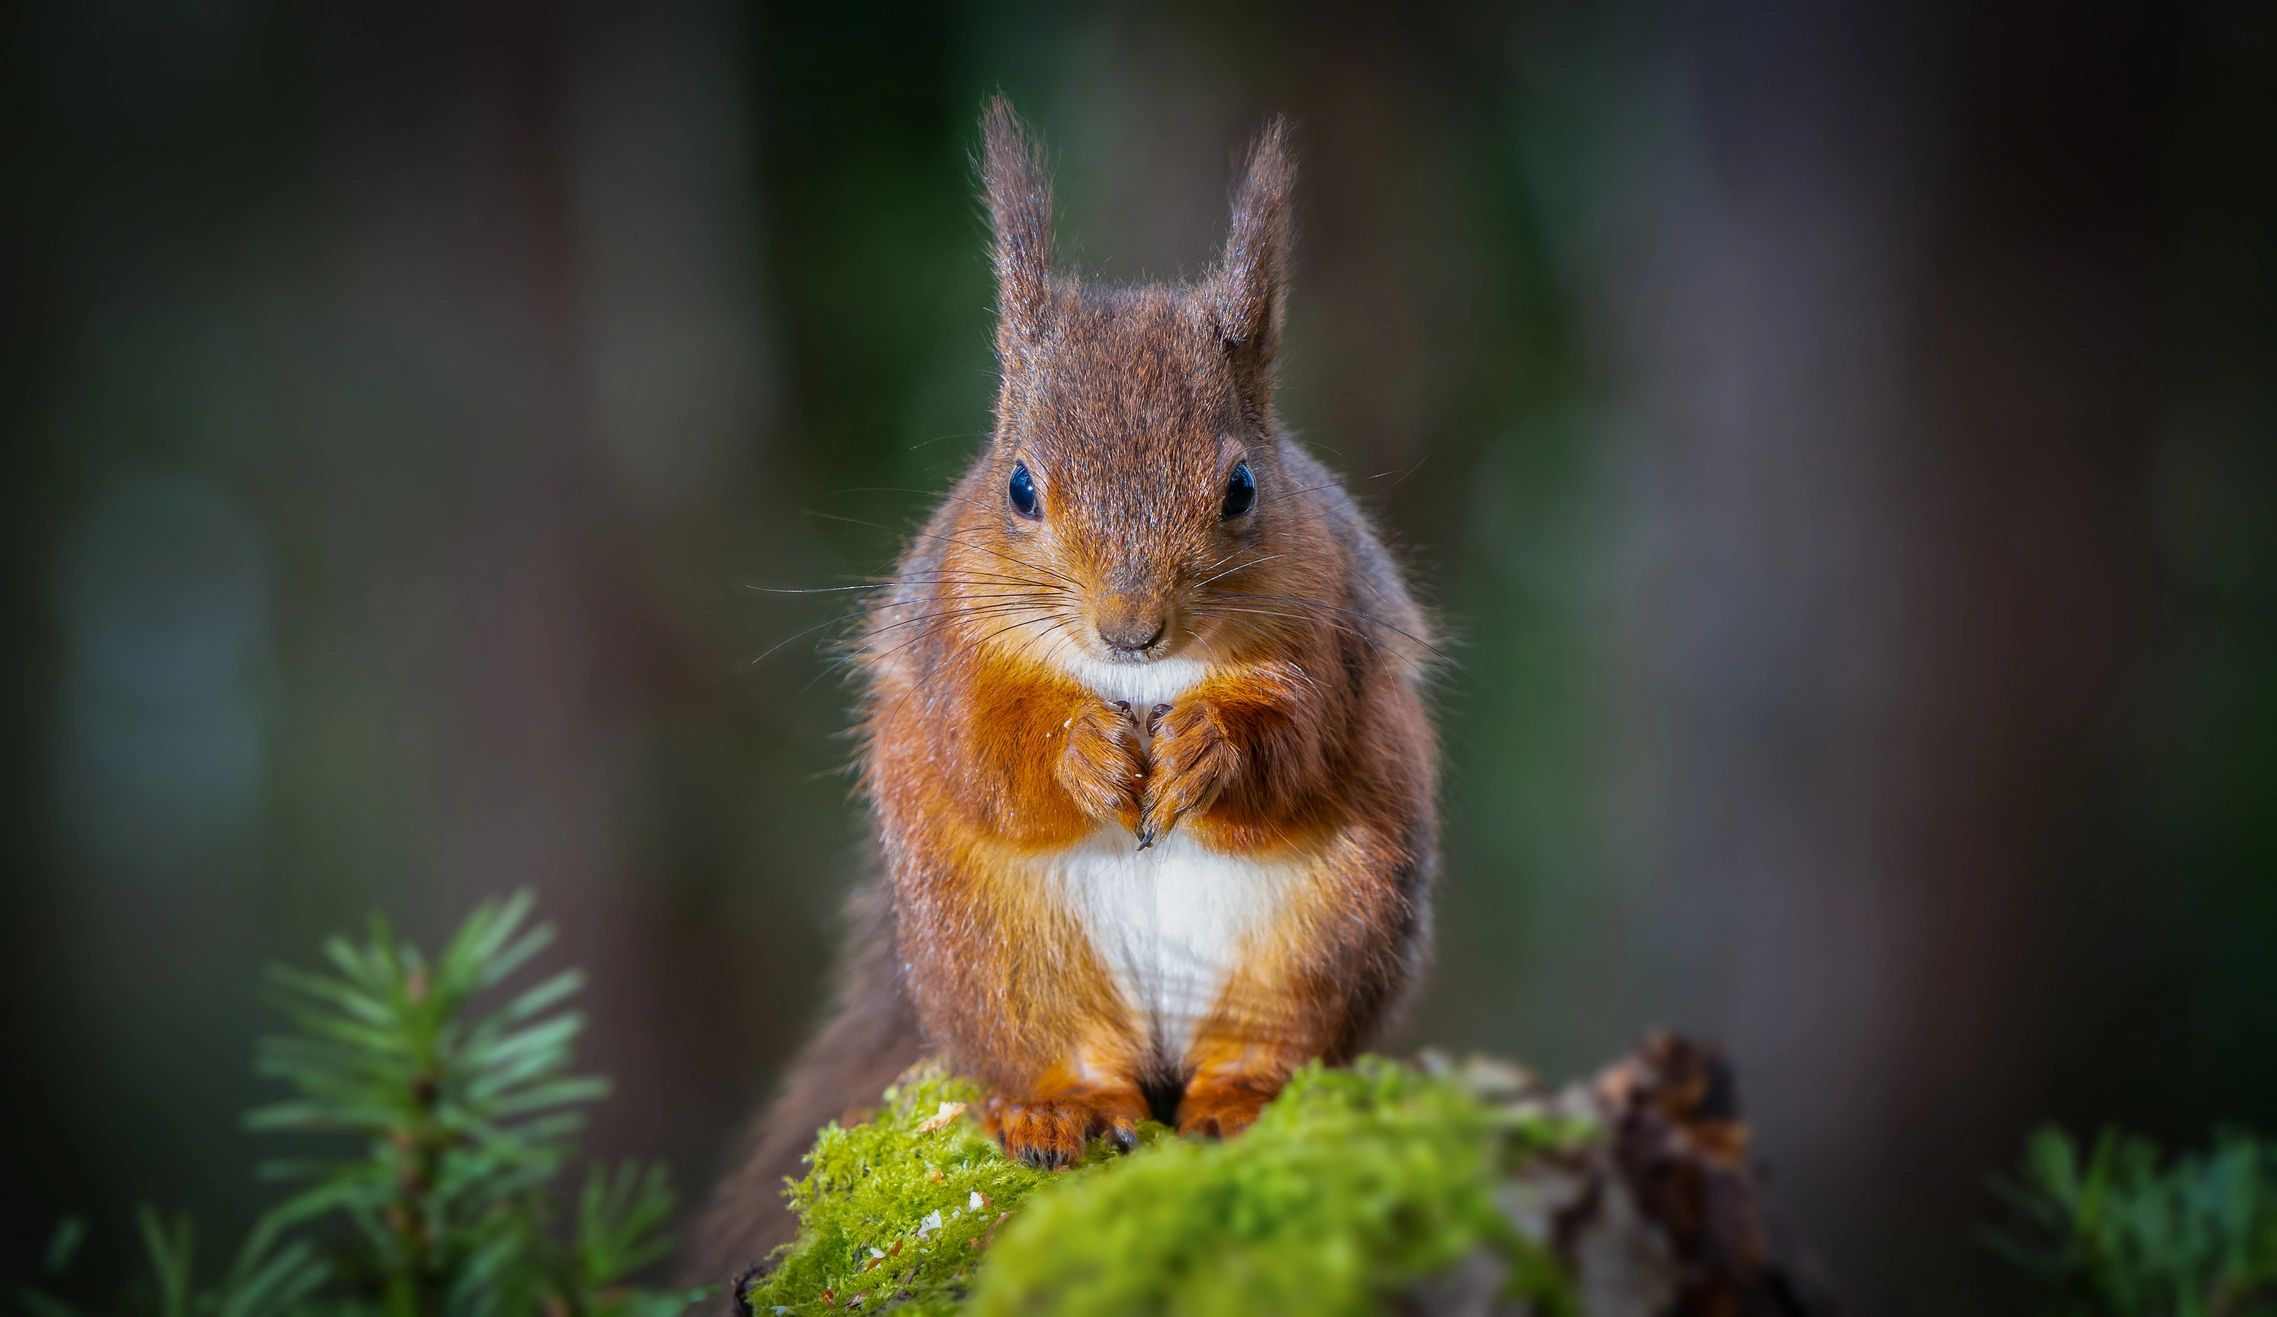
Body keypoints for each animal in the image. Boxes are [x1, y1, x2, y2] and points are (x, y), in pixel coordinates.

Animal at [693, 98, 1439, 1281]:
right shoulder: (947, 647)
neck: (1142, 684)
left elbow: (1298, 741)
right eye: (1018, 486)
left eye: (1242, 489)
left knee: (1264, 1040)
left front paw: (1206, 750)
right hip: (993, 954)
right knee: (1067, 1057)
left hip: (1327, 932)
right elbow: (990, 753)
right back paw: (1061, 1112)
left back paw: (1241, 1095)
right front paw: (1081, 753)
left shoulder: (1338, 635)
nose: (1130, 632)